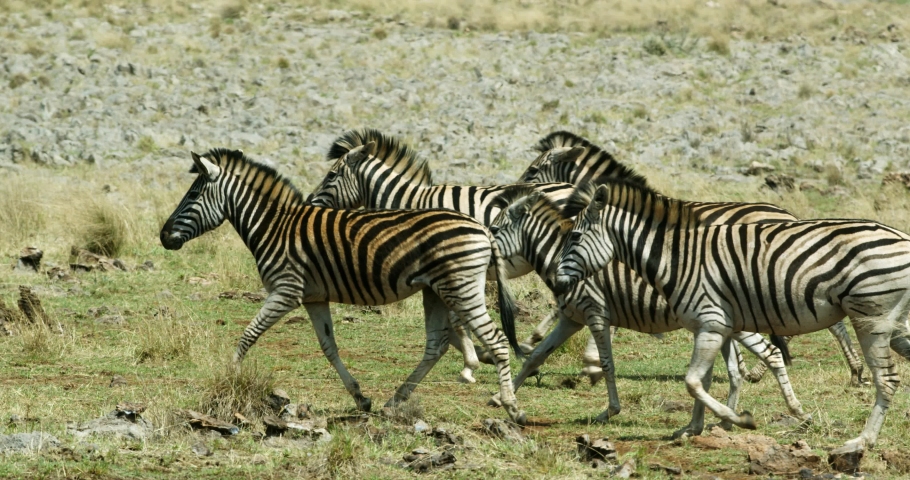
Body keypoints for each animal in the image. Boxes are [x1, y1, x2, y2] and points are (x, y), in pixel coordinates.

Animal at [159, 147, 527, 425]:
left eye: (193, 195)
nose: (163, 236)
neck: (274, 226)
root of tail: (482, 228)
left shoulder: (286, 290)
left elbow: (248, 335)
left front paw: (228, 380)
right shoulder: (314, 297)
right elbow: (329, 347)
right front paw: (360, 397)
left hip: (460, 287)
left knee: (495, 340)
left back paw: (511, 406)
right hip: (435, 291)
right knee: (435, 346)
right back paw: (395, 400)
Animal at [307, 128, 590, 383]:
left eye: (331, 175)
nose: (309, 202)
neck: (411, 204)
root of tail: (574, 188)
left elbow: (456, 321)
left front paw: (471, 363)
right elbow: (455, 322)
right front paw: (479, 356)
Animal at [488, 190, 808, 429]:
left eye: (494, 229)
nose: (485, 258)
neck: (560, 255)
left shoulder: (596, 313)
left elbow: (607, 363)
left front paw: (610, 410)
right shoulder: (571, 319)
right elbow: (536, 357)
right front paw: (502, 399)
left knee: (771, 353)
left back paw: (790, 411)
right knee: (747, 364)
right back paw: (731, 419)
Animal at [555, 180, 910, 449]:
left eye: (575, 237)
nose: (557, 284)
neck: (677, 258)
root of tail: (902, 236)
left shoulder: (711, 323)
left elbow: (692, 382)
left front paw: (738, 419)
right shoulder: (710, 326)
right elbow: (703, 381)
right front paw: (692, 428)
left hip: (872, 318)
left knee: (888, 379)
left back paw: (863, 441)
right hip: (897, 326)